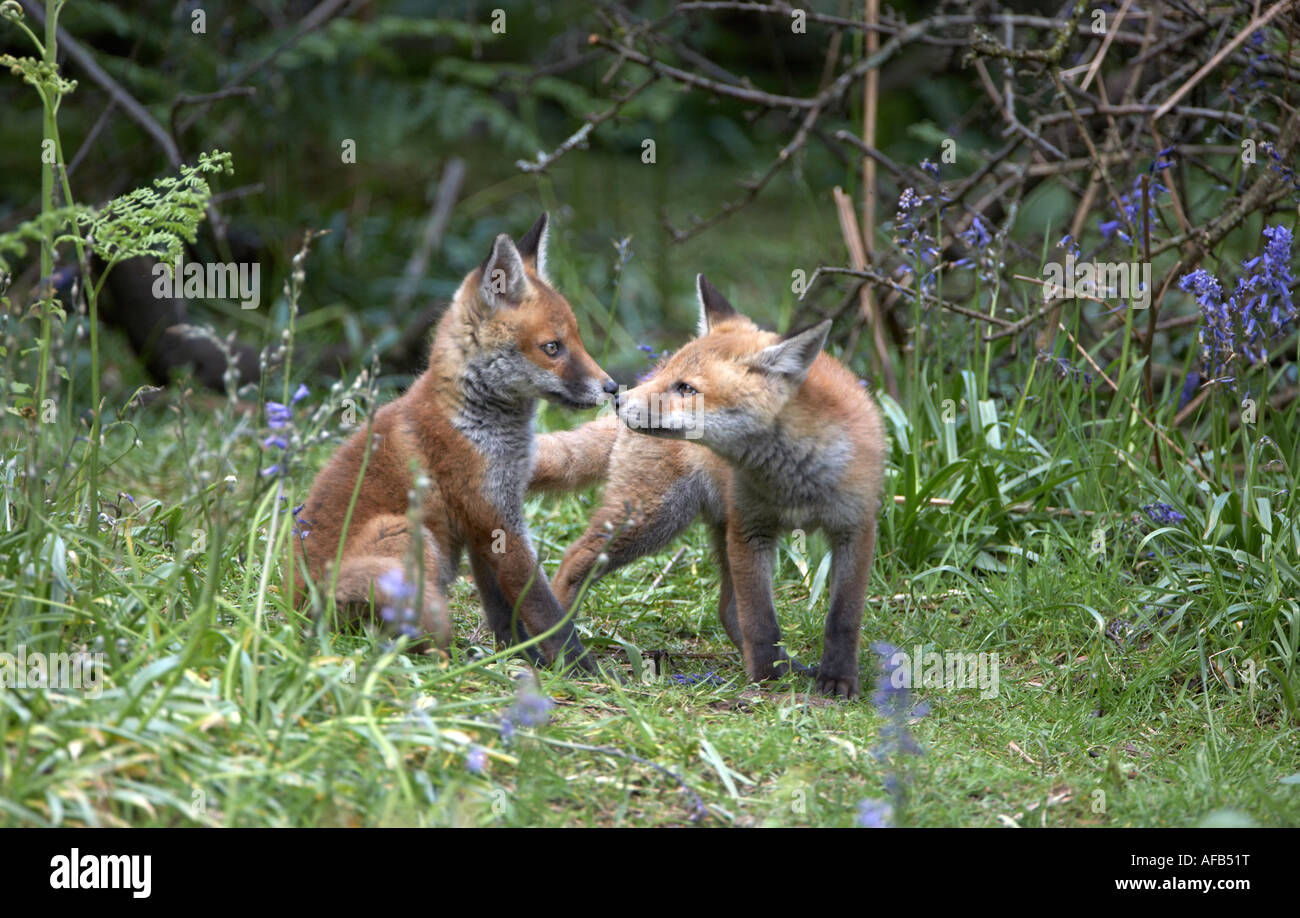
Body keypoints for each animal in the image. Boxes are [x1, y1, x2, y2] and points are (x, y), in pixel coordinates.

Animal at [295, 213, 616, 670]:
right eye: (552, 347)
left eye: (578, 340)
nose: (612, 387)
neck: (479, 424)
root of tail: (297, 614)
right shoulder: (496, 518)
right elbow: (545, 610)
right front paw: (580, 668)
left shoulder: (485, 526)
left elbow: (503, 611)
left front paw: (519, 657)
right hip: (404, 535)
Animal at [531, 275, 887, 697]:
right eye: (672, 375)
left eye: (687, 388)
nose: (617, 397)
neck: (794, 478)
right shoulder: (750, 529)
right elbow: (759, 619)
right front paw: (765, 680)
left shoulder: (855, 528)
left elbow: (843, 618)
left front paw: (837, 678)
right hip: (654, 518)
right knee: (572, 561)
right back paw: (559, 642)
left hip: (709, 525)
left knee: (726, 609)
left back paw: (790, 665)